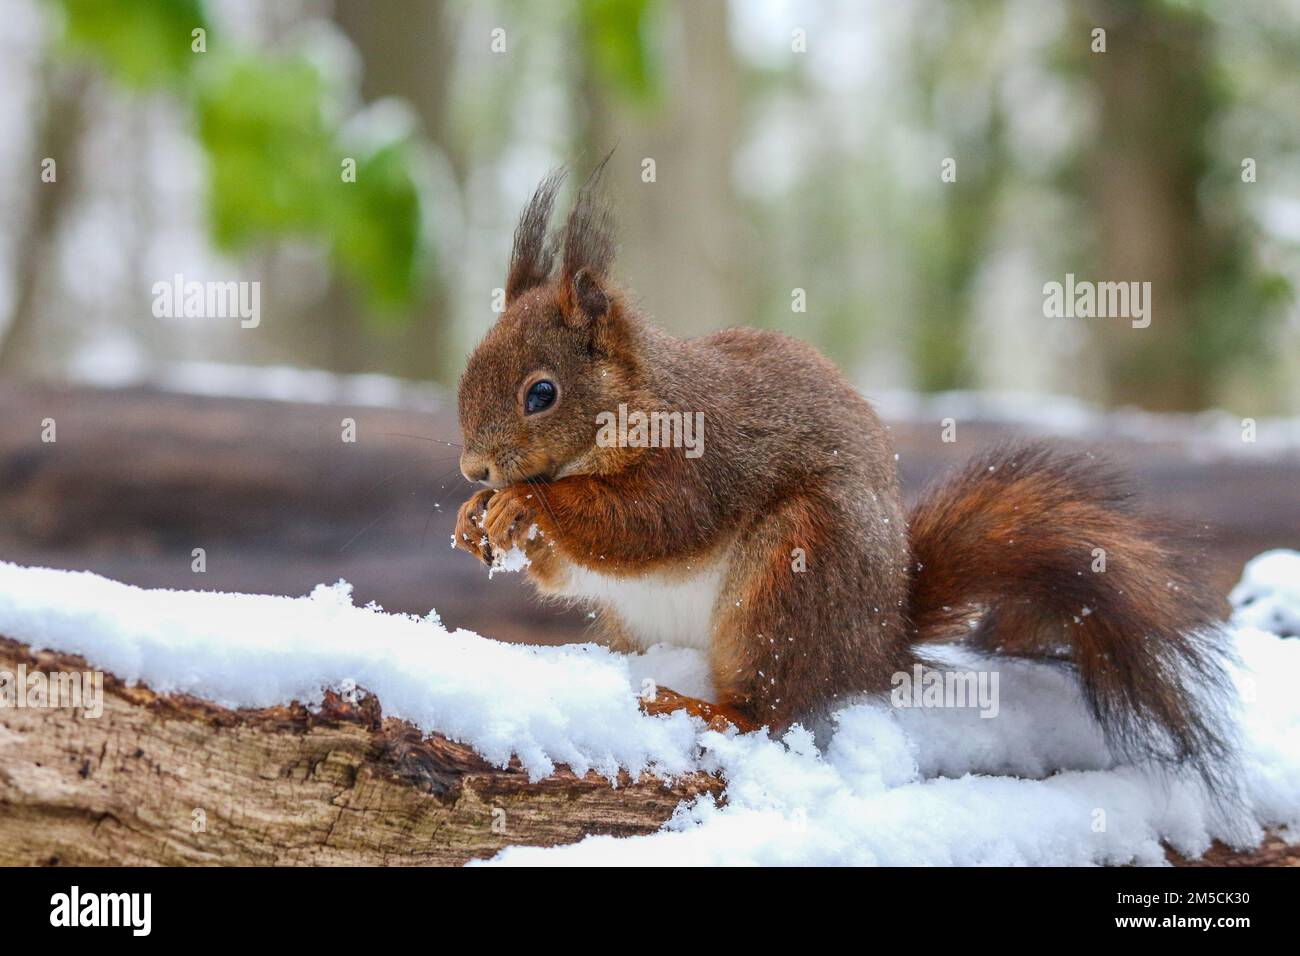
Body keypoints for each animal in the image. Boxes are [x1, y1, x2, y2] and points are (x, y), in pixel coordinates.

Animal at [453, 164, 1236, 791]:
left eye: (542, 394)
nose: (473, 467)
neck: (641, 403)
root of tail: (878, 645)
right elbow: (569, 570)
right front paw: (475, 517)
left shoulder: (702, 462)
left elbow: (645, 523)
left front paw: (526, 502)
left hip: (796, 570)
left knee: (768, 708)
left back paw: (699, 705)